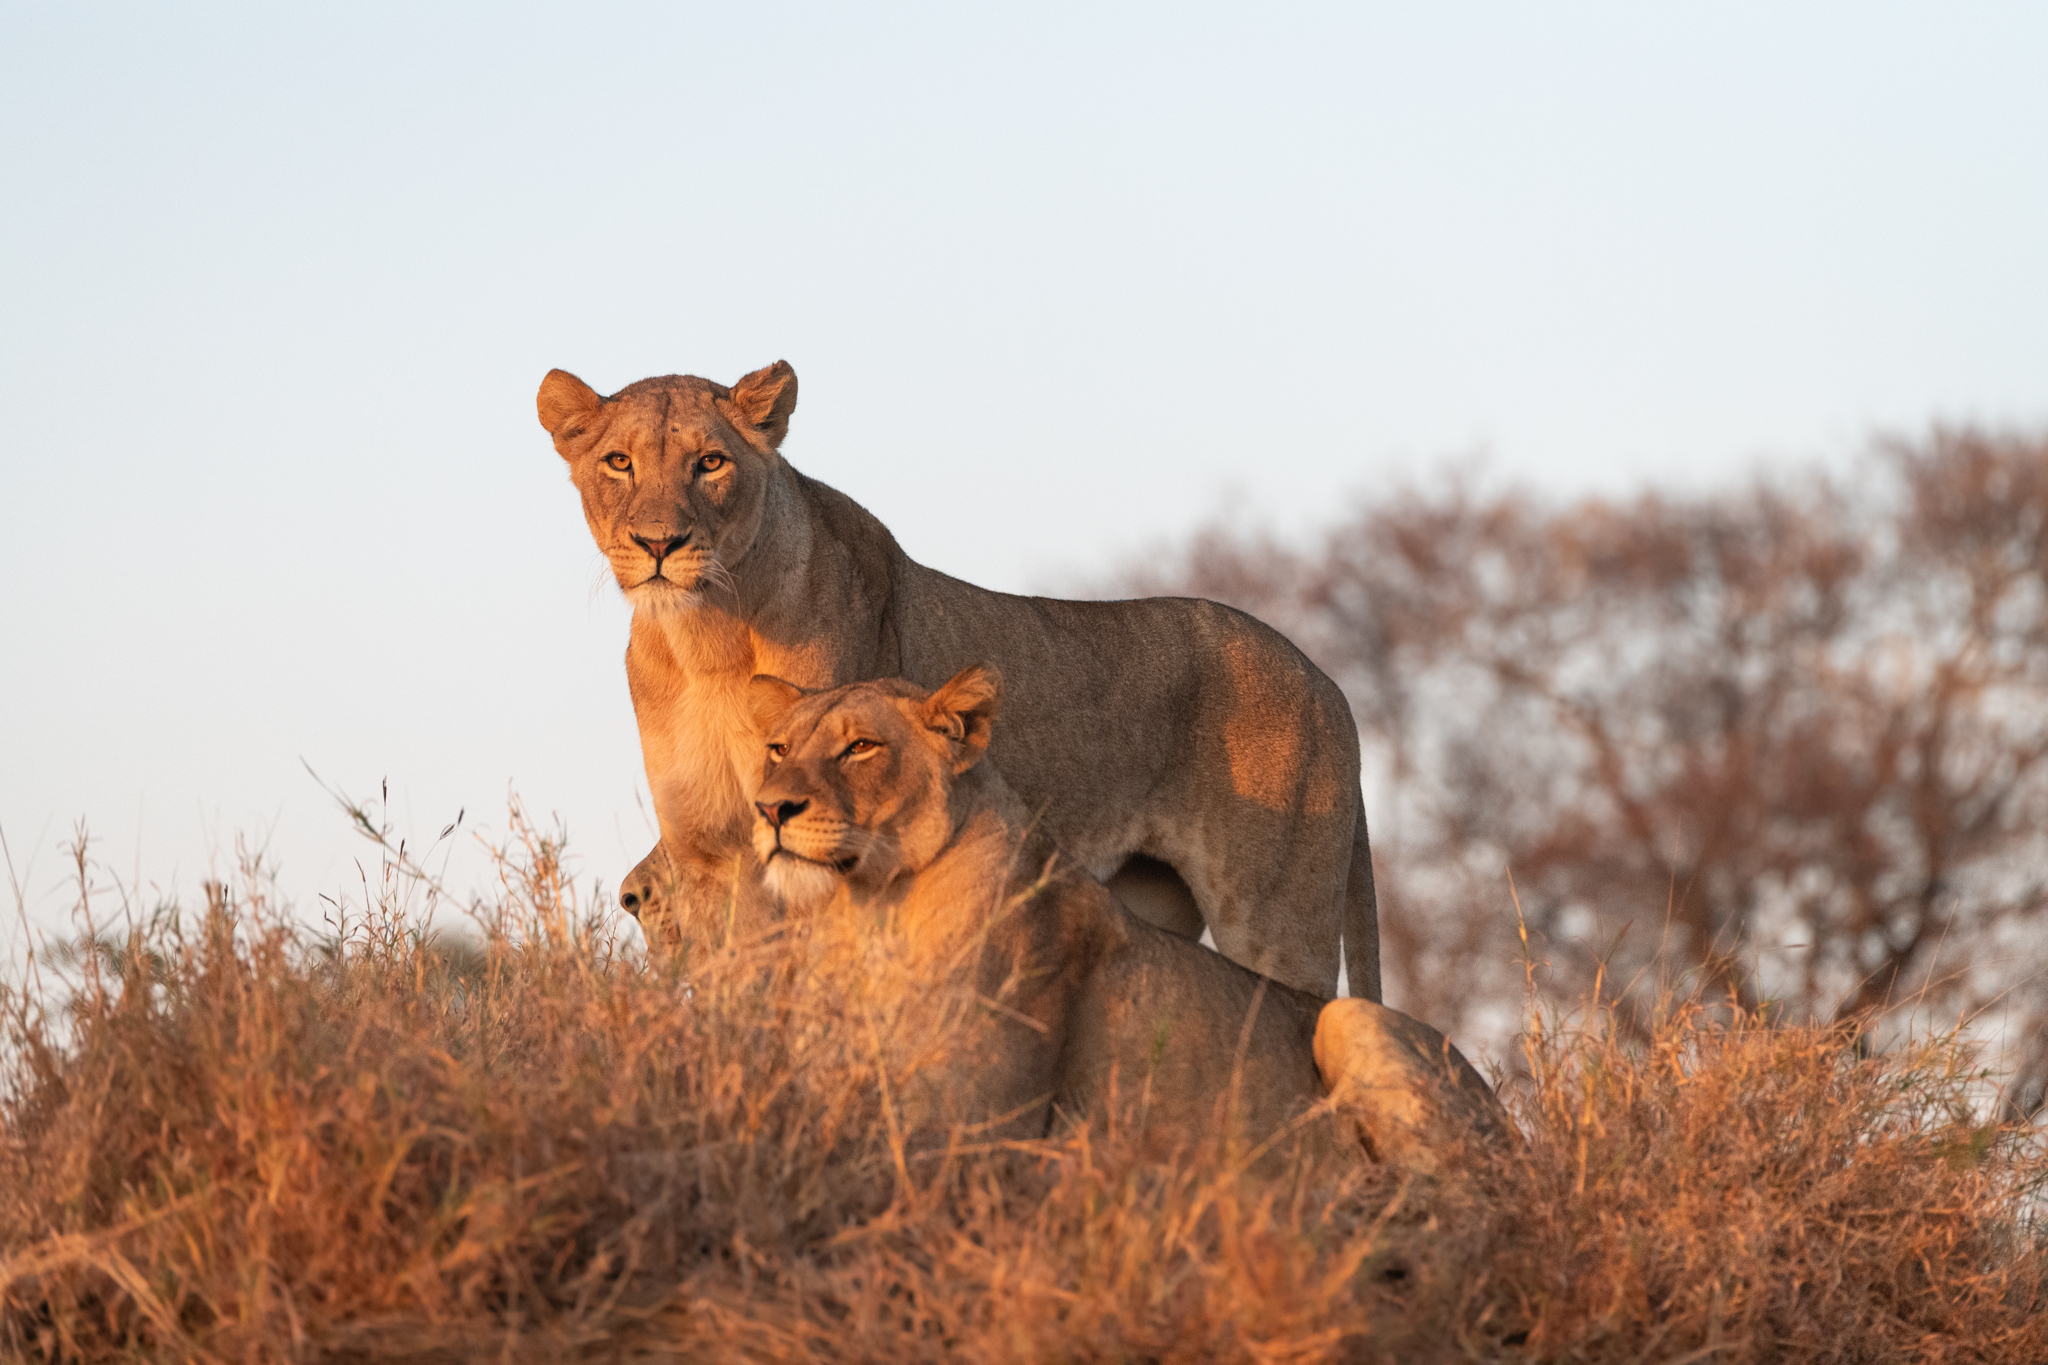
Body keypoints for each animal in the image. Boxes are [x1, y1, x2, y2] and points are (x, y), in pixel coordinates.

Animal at [538, 361, 1378, 998]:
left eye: (710, 462)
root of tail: (1328, 683)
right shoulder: (710, 855)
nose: (659, 543)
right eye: (619, 462)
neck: (702, 638)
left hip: (1278, 918)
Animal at [744, 664, 1506, 1170]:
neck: (866, 909)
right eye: (778, 748)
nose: (771, 809)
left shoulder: (975, 1119)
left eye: (860, 747)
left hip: (1352, 1020)